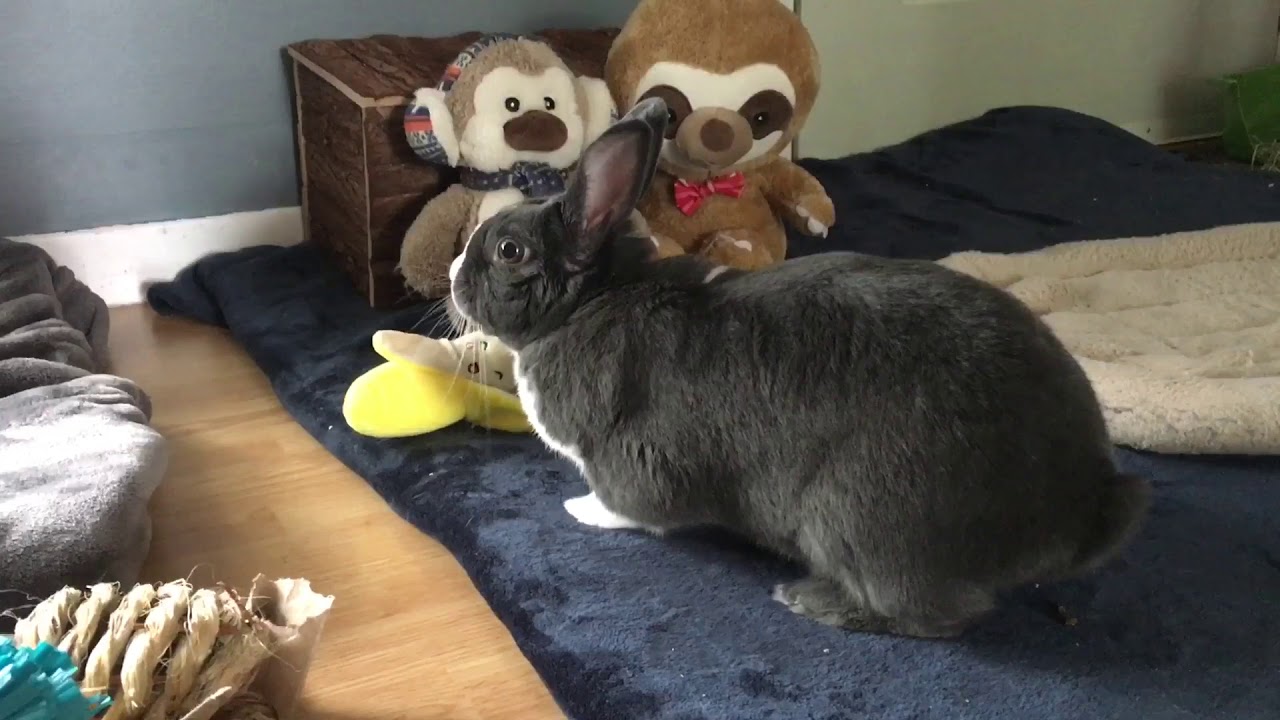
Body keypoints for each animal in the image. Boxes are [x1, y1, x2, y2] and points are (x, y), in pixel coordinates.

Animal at [445, 97, 1152, 639]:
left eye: (509, 250)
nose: (451, 274)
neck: (589, 303)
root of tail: (1084, 502)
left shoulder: (629, 459)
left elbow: (628, 507)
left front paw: (578, 511)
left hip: (861, 514)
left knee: (938, 615)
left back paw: (809, 601)